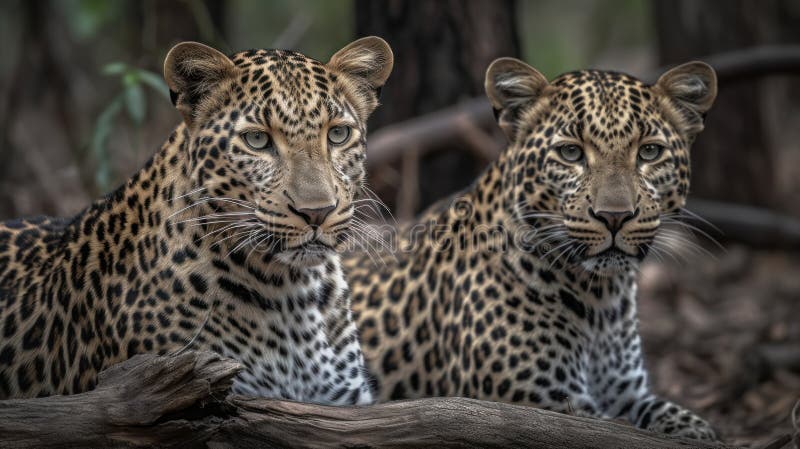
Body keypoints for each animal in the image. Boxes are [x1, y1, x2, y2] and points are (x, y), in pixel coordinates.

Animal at [345, 57, 719, 439]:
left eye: (650, 152)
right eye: (571, 152)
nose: (614, 217)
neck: (600, 300)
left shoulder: (629, 395)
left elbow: (686, 423)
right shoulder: (544, 405)